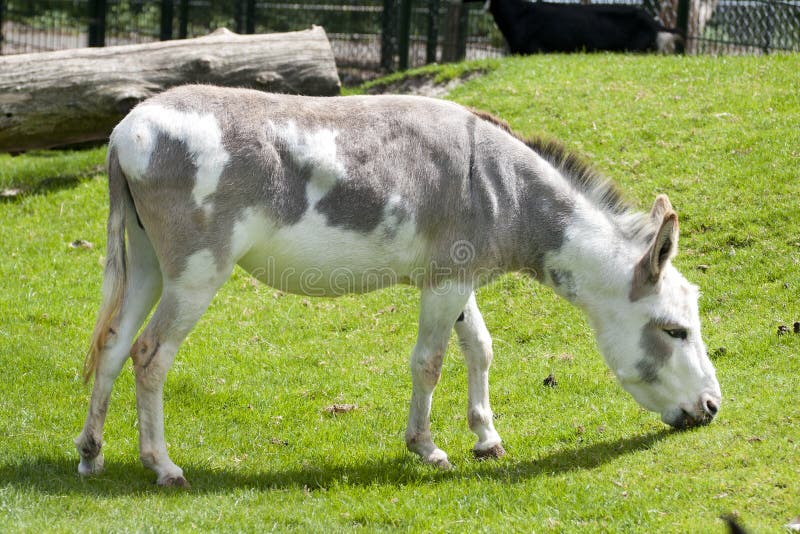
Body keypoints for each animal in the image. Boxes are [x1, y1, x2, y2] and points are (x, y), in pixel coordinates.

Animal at [75, 85, 721, 487]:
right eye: (675, 331)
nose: (712, 409)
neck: (503, 188)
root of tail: (124, 131)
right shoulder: (446, 284)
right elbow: (429, 362)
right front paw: (427, 448)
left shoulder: (456, 279)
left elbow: (479, 348)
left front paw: (487, 438)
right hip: (196, 273)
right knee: (150, 355)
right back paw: (162, 467)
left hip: (149, 264)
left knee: (112, 345)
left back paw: (91, 454)